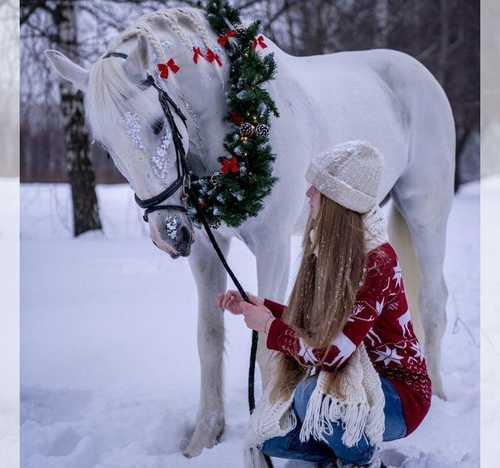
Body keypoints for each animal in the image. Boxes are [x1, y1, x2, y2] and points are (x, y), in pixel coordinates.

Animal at [47, 7, 454, 458]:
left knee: (432, 302)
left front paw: (262, 441)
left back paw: (439, 398)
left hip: (426, 212)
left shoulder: (272, 246)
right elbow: (209, 338)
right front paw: (203, 440)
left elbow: (267, 344)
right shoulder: (207, 249)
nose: (168, 233)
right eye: (105, 147)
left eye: (156, 125)